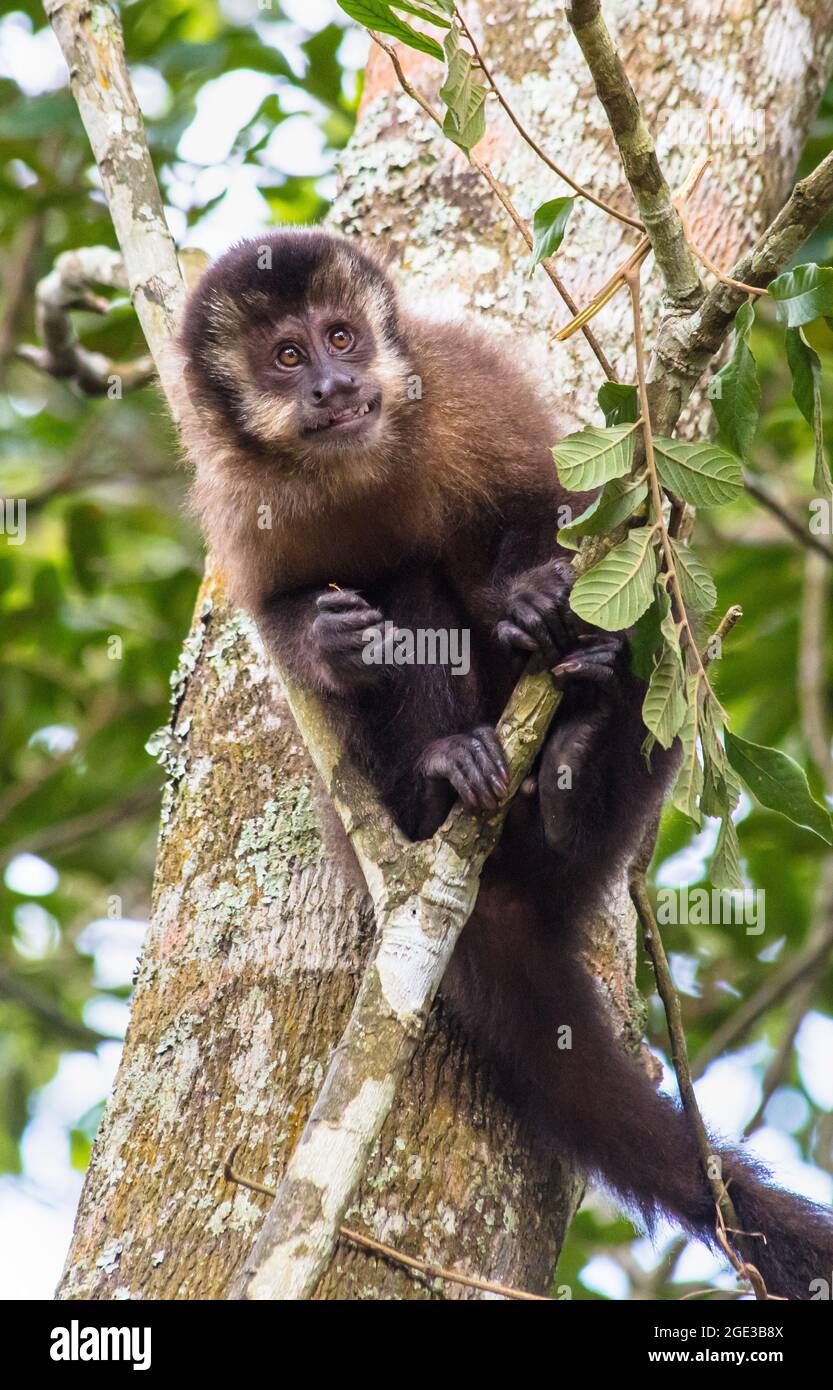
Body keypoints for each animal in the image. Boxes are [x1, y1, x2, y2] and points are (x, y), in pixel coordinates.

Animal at [176, 226, 833, 1300]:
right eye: (285, 356)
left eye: (342, 336)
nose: (332, 384)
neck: (357, 464)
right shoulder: (239, 497)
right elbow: (281, 629)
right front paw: (333, 642)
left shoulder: (457, 383)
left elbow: (561, 508)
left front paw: (529, 596)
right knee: (407, 591)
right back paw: (440, 780)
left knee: (656, 612)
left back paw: (578, 750)